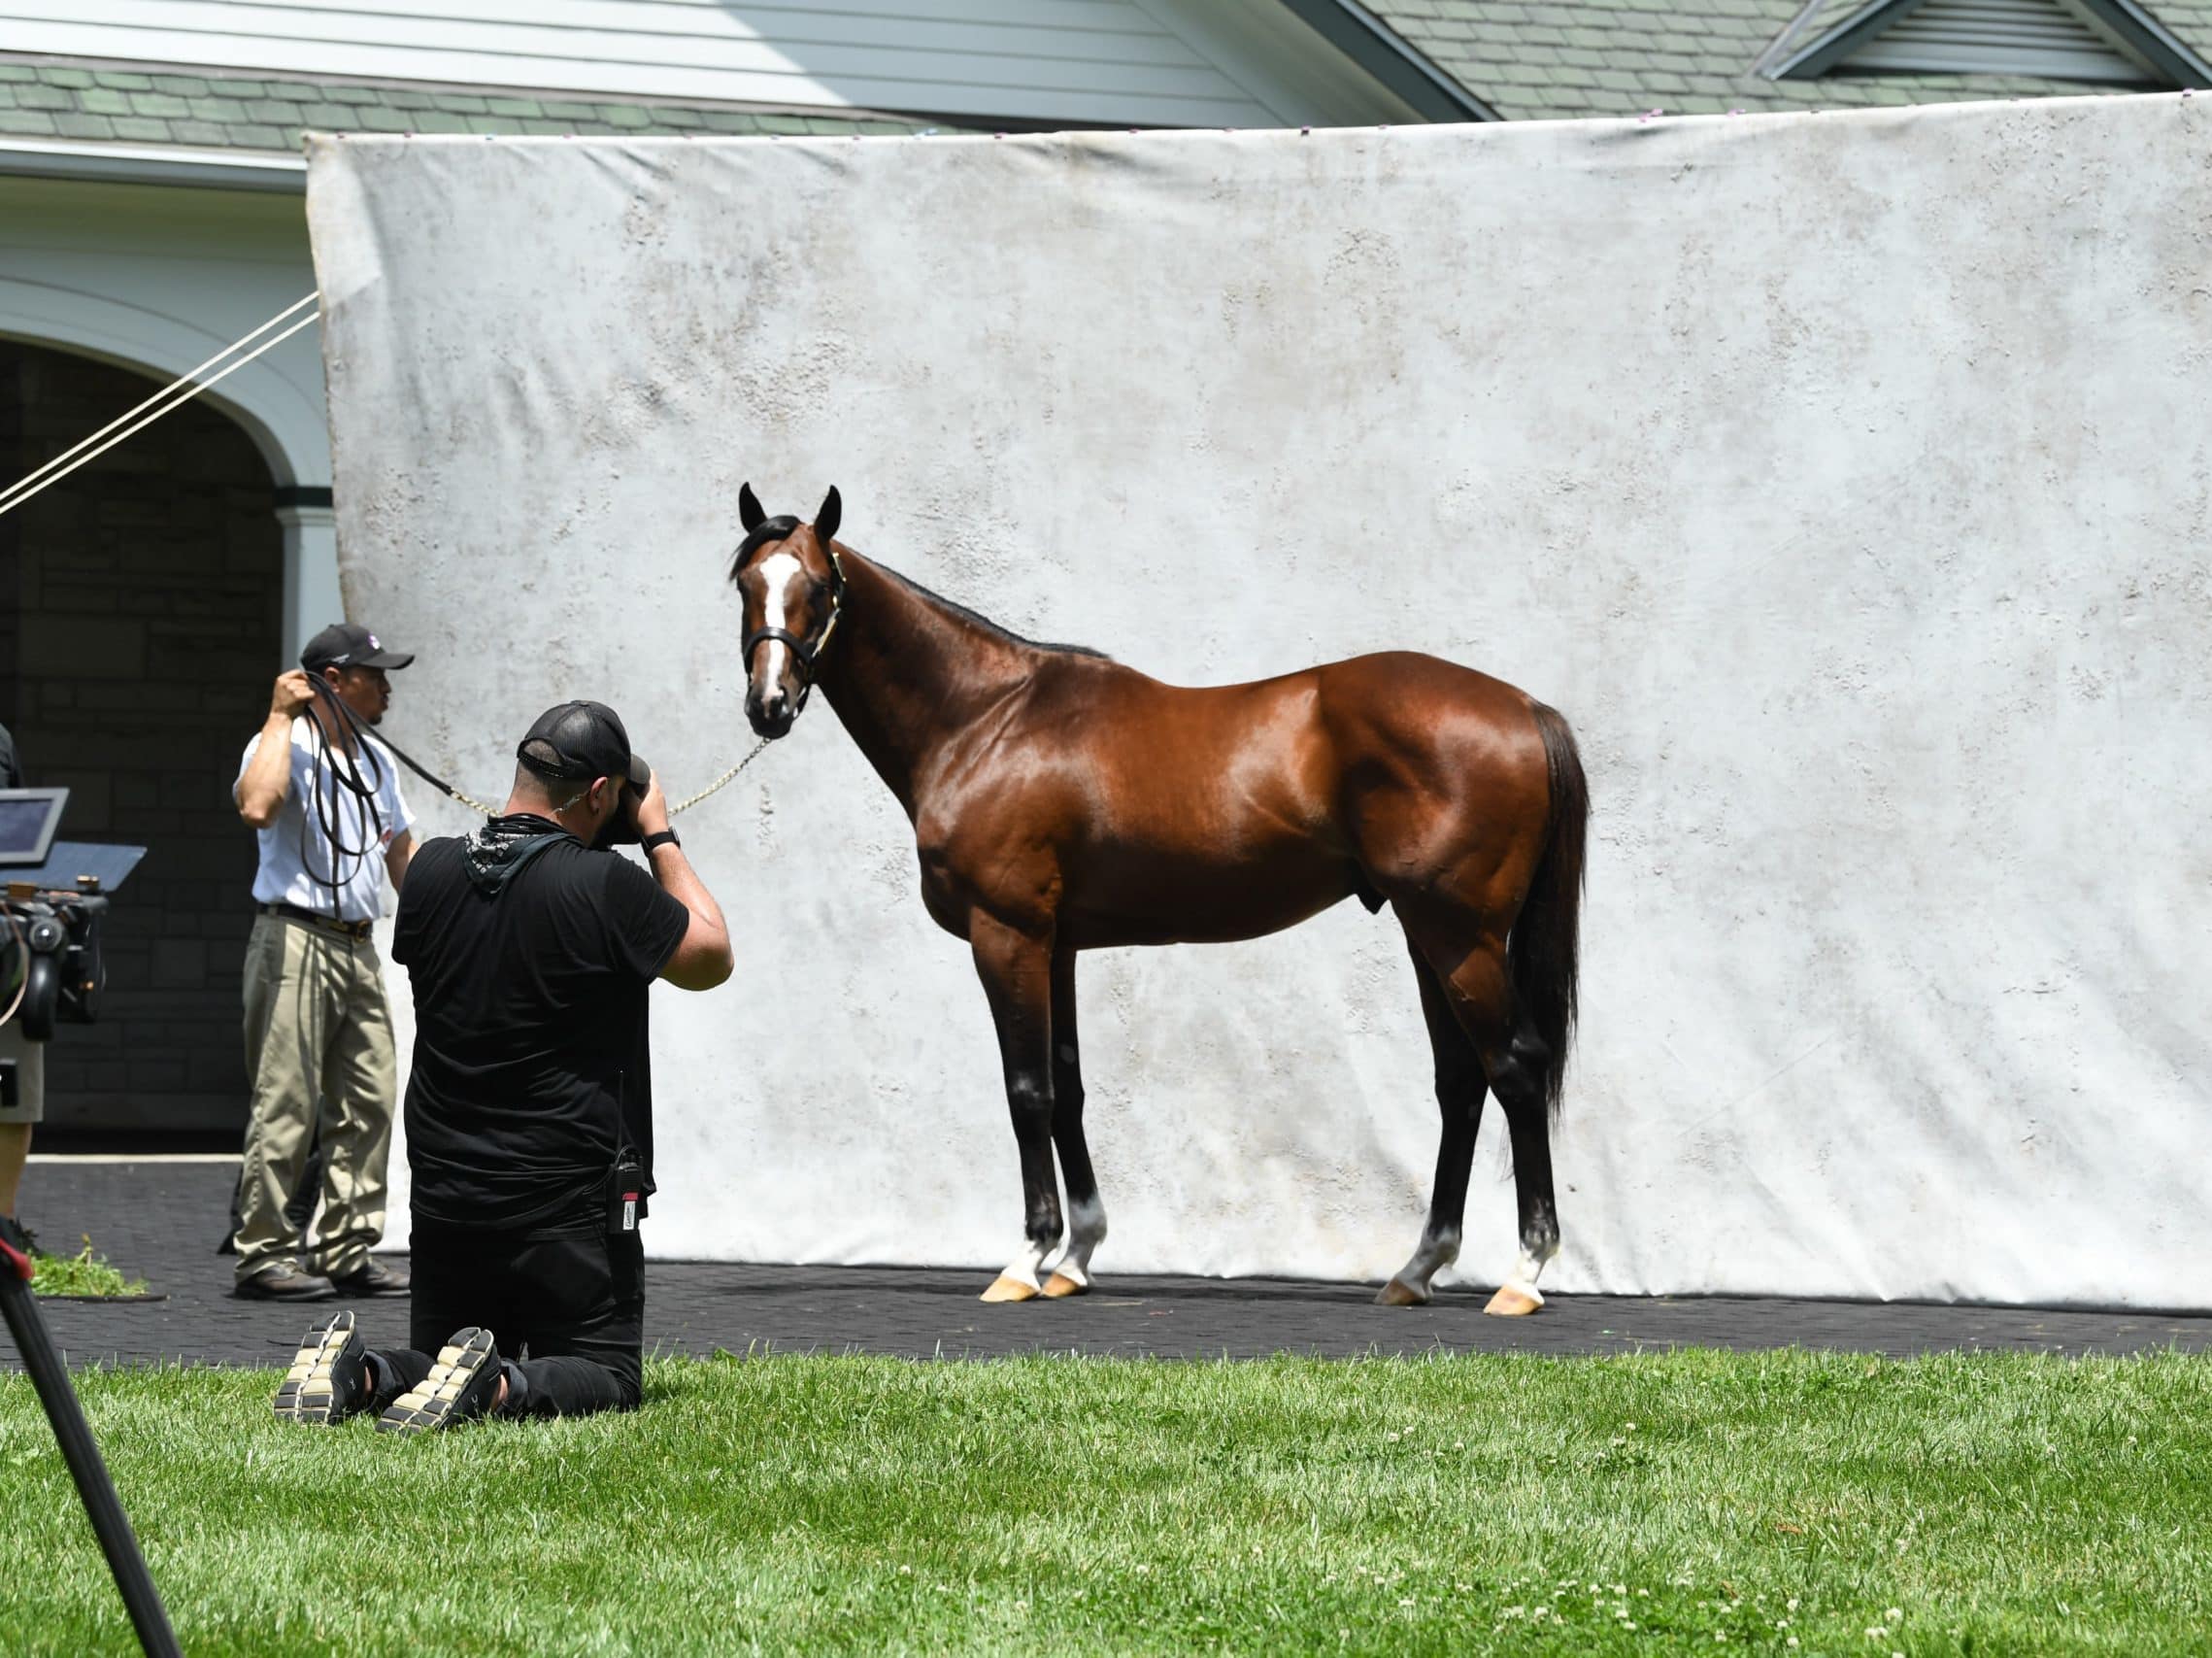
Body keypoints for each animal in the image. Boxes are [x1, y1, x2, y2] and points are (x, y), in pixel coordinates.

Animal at [728, 484, 1588, 1315]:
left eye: (816, 586)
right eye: (745, 583)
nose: (769, 705)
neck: (984, 720)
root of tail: (1526, 708)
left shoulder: (1007, 935)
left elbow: (1027, 1091)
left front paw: (1027, 1258)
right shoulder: (1057, 944)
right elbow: (1068, 1088)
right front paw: (1076, 1257)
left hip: (1460, 937)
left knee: (1514, 1067)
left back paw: (1523, 1274)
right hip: (1428, 934)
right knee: (1461, 1083)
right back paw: (1418, 1268)